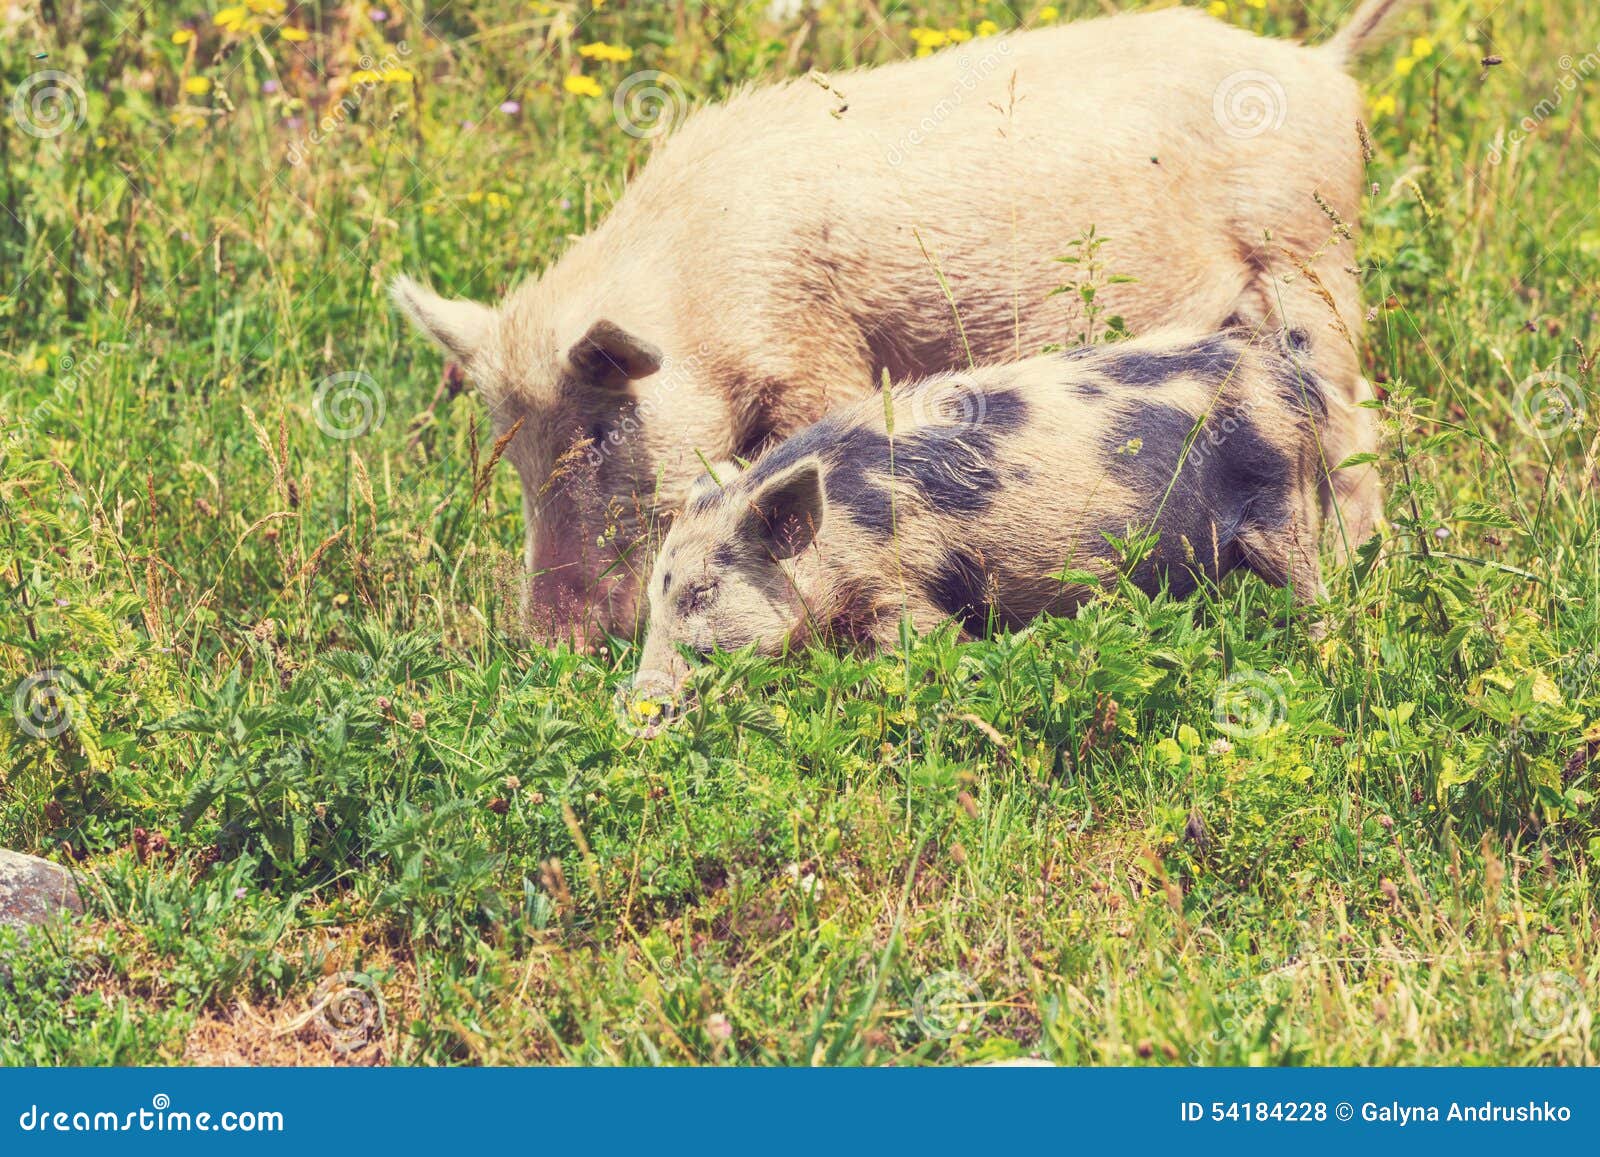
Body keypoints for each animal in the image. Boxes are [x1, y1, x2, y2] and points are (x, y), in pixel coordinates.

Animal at [394, 0, 1414, 639]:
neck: (704, 300)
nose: (547, 641)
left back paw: (1364, 563)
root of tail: (1317, 63)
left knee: (1356, 410)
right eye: (512, 450)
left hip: (1309, 254)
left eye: (605, 429)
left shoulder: (820, 350)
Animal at [634, 328, 1329, 688]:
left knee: (1316, 592)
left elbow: (928, 645)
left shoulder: (899, 586)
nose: (639, 706)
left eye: (701, 591)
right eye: (656, 591)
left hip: (1281, 503)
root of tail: (1279, 370)